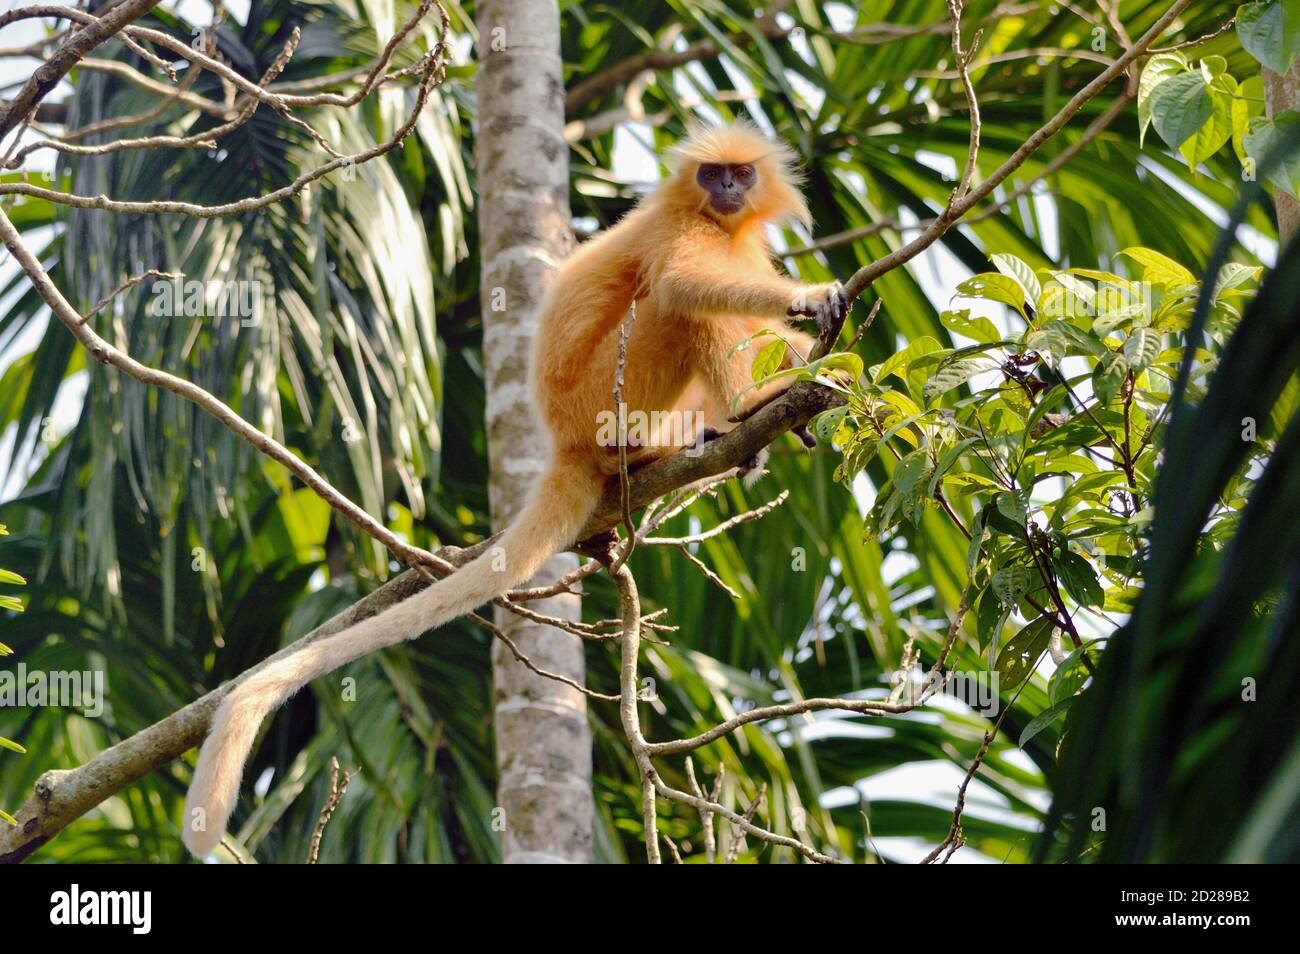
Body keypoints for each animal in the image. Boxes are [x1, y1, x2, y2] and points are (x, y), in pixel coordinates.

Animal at [181, 120, 847, 856]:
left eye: (741, 174)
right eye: (712, 175)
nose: (727, 188)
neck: (714, 219)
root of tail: (563, 440)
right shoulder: (680, 227)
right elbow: (682, 279)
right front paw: (811, 301)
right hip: (607, 393)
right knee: (677, 305)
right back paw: (741, 408)